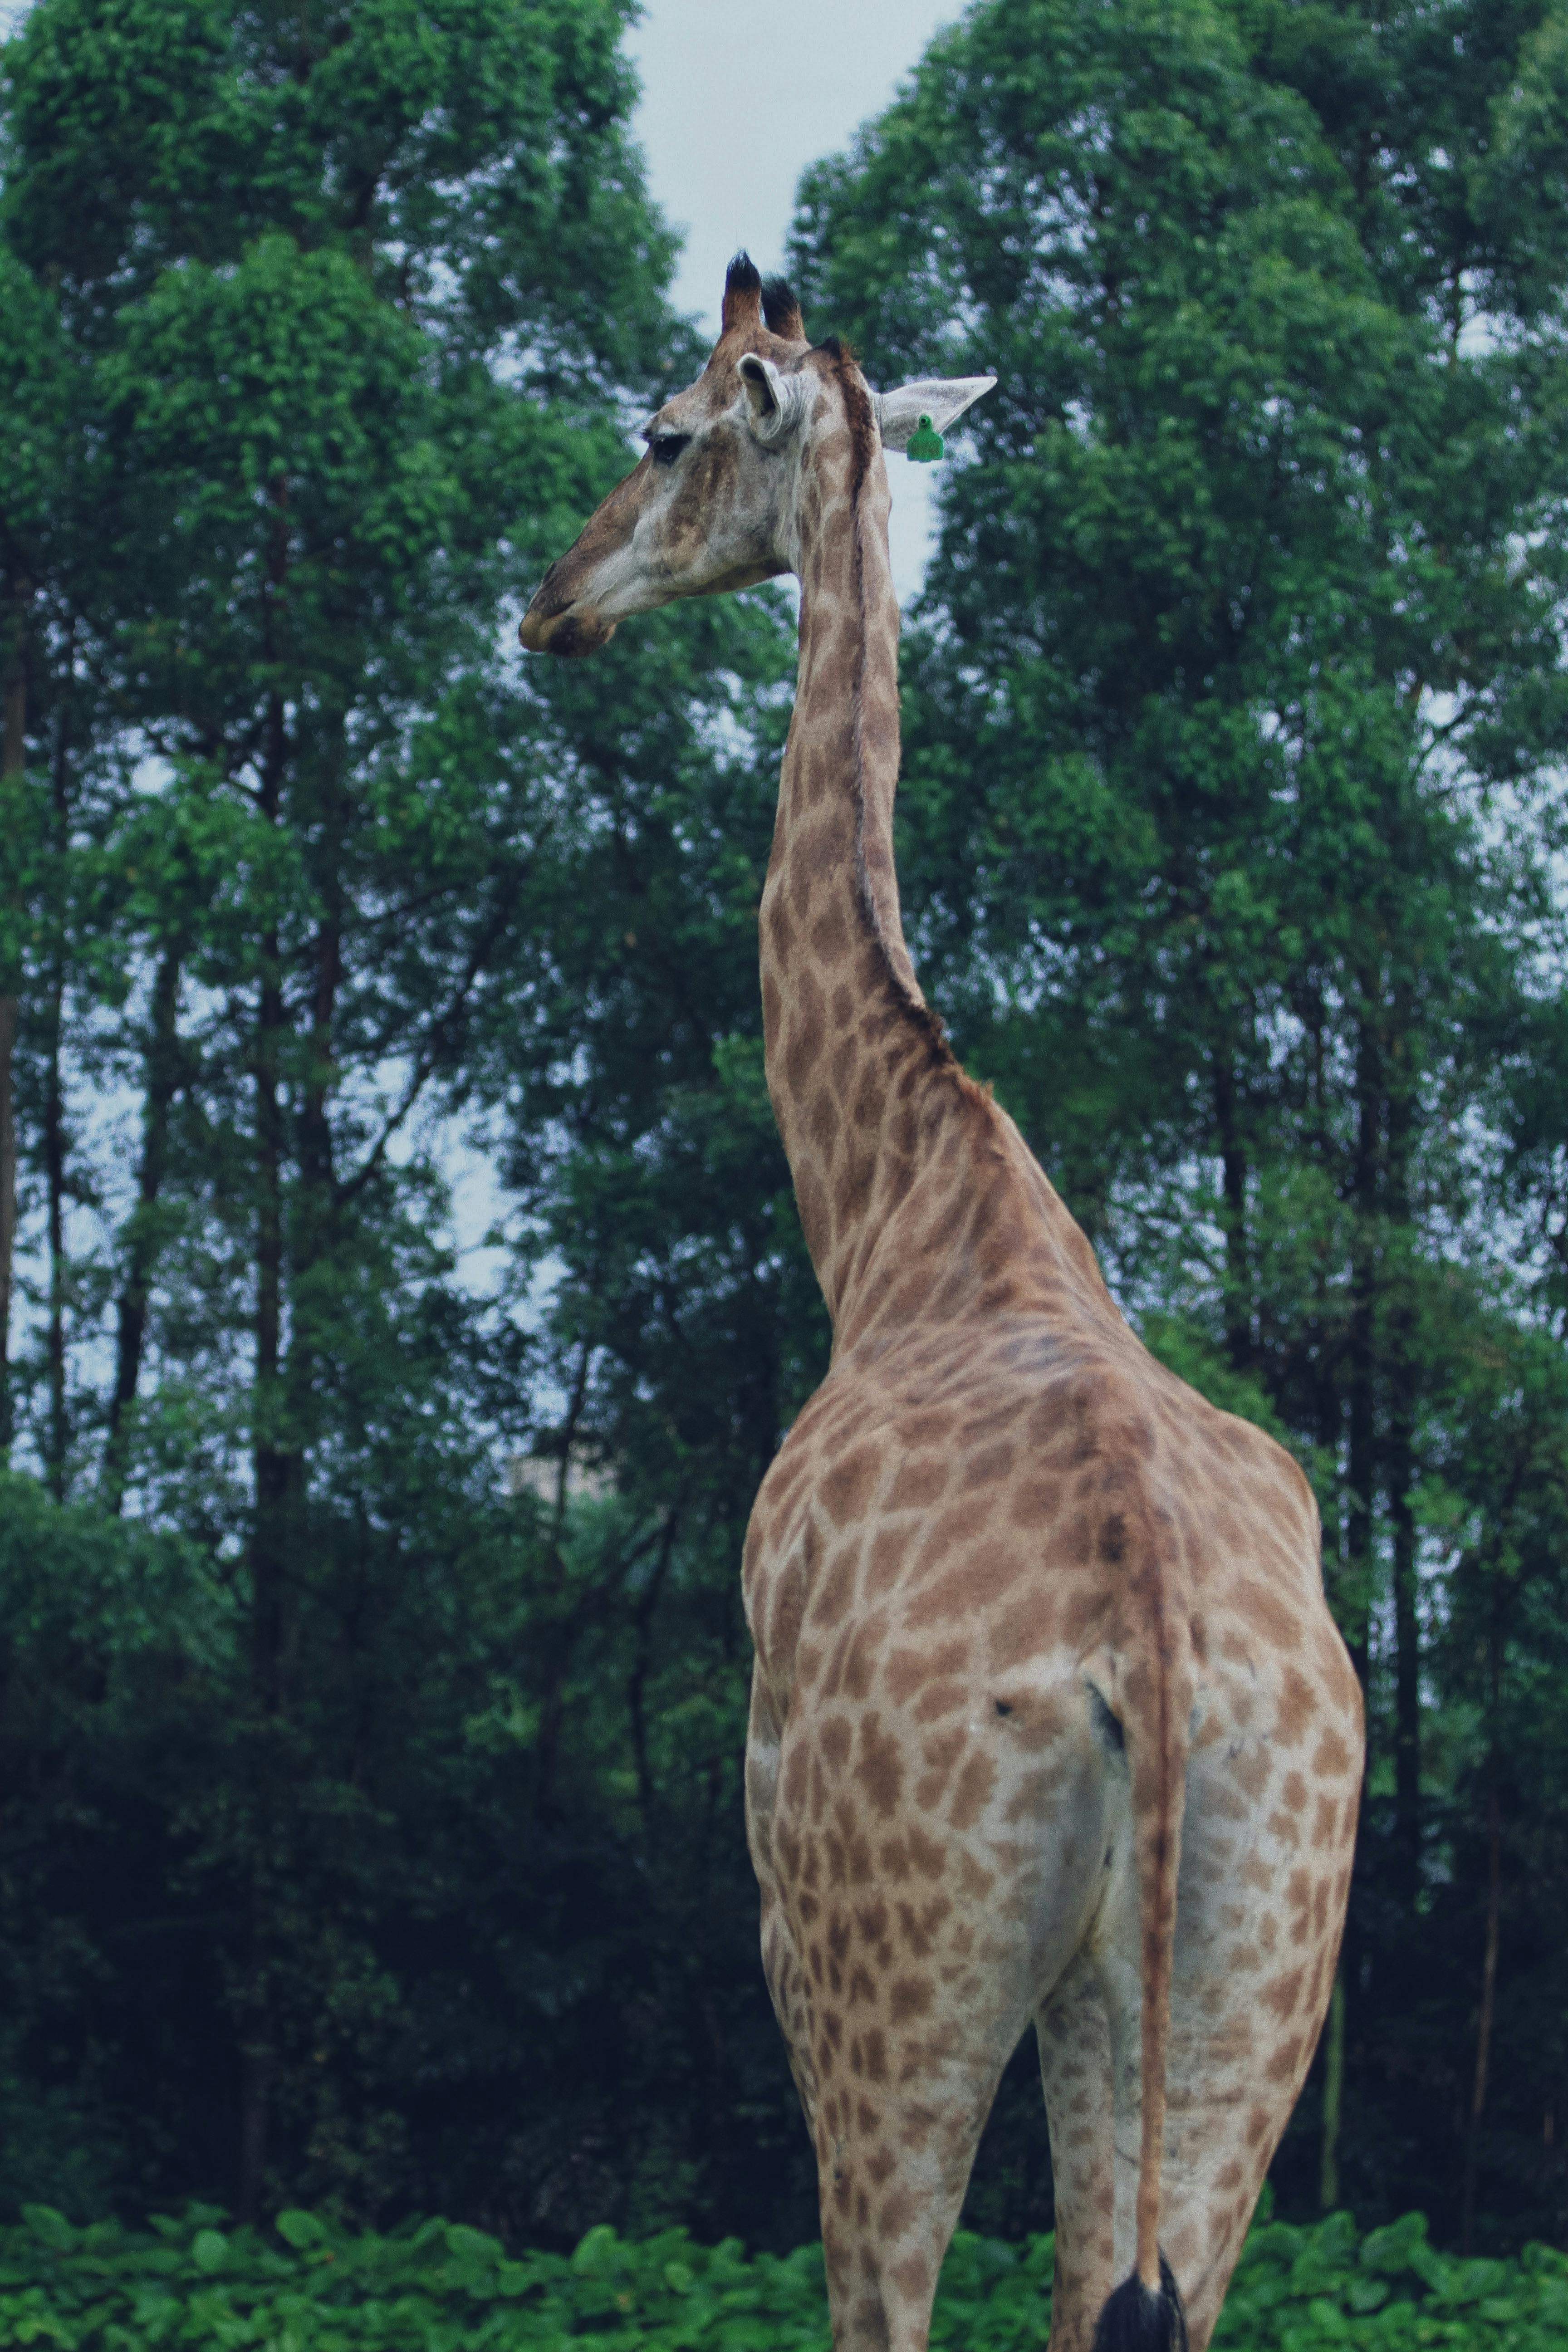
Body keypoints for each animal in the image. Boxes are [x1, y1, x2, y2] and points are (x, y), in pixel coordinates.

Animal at [519, 254, 1363, 2352]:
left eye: (665, 426)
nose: (552, 600)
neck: (905, 1204)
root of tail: (1156, 1655)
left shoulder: (779, 1924)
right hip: (1243, 1994)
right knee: (1134, 2293)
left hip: (891, 1976)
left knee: (891, 2298)